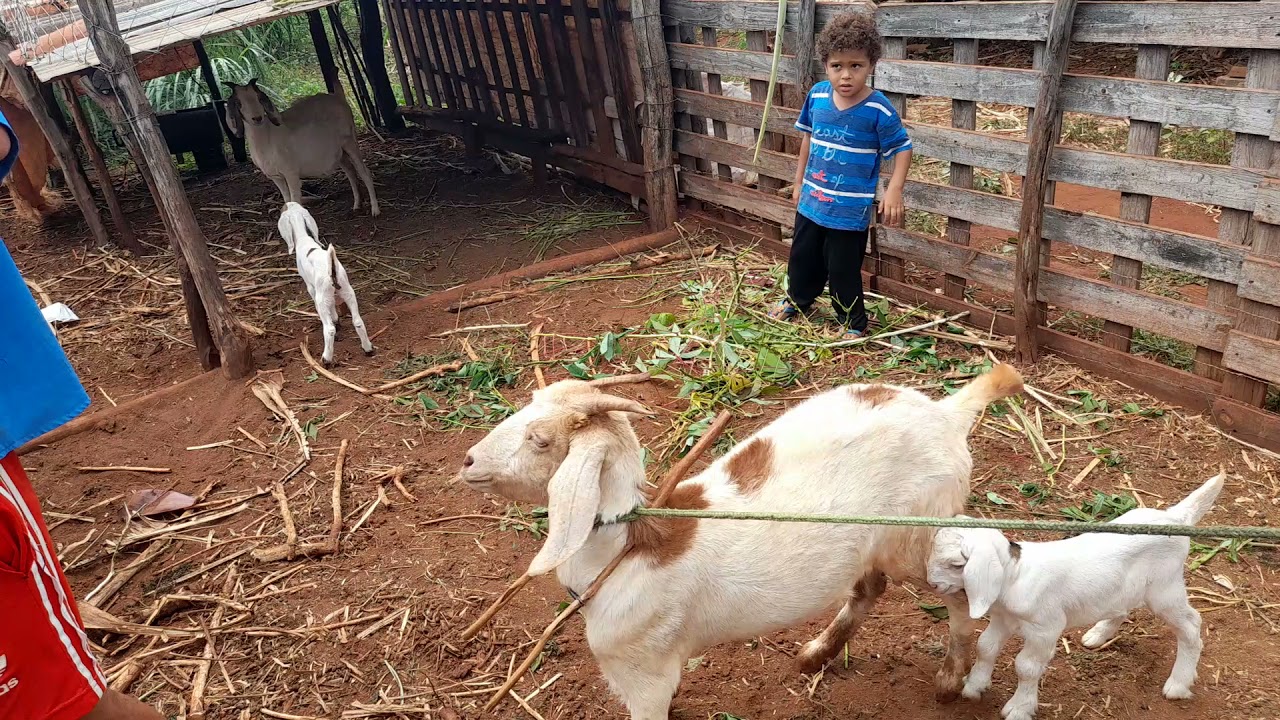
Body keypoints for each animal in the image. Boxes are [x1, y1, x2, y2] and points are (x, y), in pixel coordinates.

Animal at [225, 79, 379, 216]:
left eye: (258, 98)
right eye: (239, 103)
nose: (257, 118)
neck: (268, 137)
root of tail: (337, 96)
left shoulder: (291, 173)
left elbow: (295, 200)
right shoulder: (276, 177)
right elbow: (287, 200)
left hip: (350, 142)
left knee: (364, 172)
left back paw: (375, 210)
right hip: (339, 153)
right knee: (351, 172)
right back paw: (356, 205)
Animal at [276, 201, 374, 366]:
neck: (304, 239)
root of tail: (332, 269)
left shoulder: (311, 287)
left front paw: (335, 321)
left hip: (323, 296)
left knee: (329, 329)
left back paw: (326, 359)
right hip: (348, 292)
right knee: (358, 321)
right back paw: (368, 349)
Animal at [455, 363, 1025, 719]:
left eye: (540, 441)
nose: (468, 461)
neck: (627, 549)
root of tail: (948, 413)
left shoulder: (642, 674)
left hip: (920, 531)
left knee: (956, 596)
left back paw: (949, 681)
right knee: (870, 588)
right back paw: (817, 654)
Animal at [927, 473, 1224, 720]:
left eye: (957, 564)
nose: (932, 583)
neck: (1015, 575)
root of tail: (1177, 518)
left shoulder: (1045, 628)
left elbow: (1026, 667)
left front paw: (1019, 708)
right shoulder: (1002, 619)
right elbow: (985, 647)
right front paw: (974, 686)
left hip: (1165, 588)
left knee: (1191, 625)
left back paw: (1179, 682)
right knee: (1121, 606)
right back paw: (1098, 634)